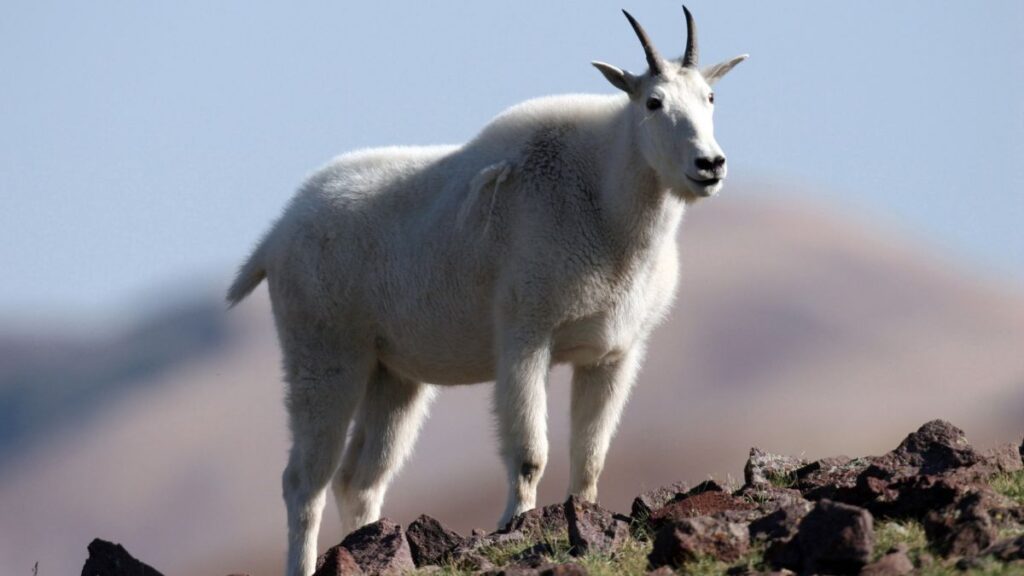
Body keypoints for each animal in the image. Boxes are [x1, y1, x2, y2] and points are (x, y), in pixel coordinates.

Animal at [228, 7, 746, 576]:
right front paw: (514, 525)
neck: (607, 203)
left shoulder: (614, 353)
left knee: (359, 478)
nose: (709, 165)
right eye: (653, 102)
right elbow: (529, 453)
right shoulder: (525, 335)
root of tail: (276, 236)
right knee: (304, 481)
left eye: (710, 97)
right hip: (324, 355)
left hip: (392, 375)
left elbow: (590, 457)